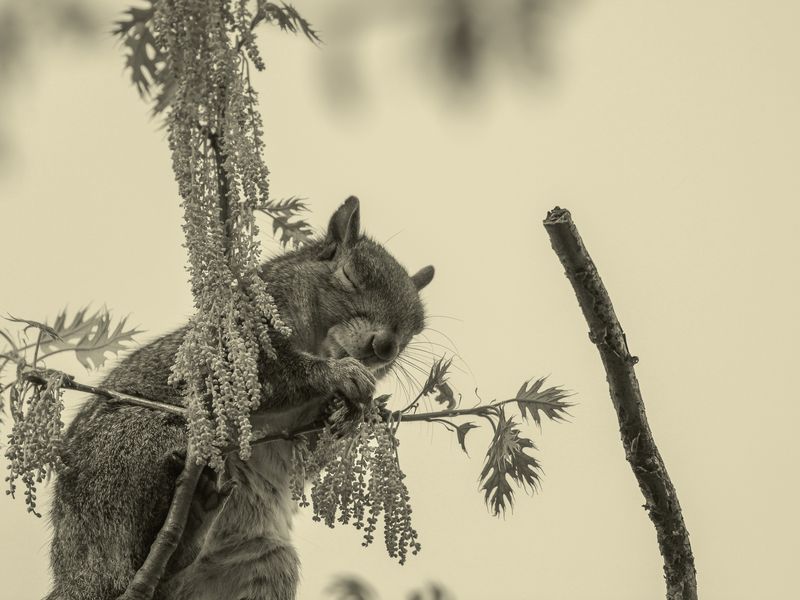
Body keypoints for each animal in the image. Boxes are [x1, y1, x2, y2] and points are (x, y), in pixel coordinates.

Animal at [45, 196, 435, 600]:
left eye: (415, 330)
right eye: (348, 277)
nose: (385, 347)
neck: (315, 341)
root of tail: (74, 578)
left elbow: (307, 456)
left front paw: (351, 413)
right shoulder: (233, 339)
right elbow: (269, 378)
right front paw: (339, 375)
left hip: (266, 565)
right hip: (129, 452)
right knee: (132, 549)